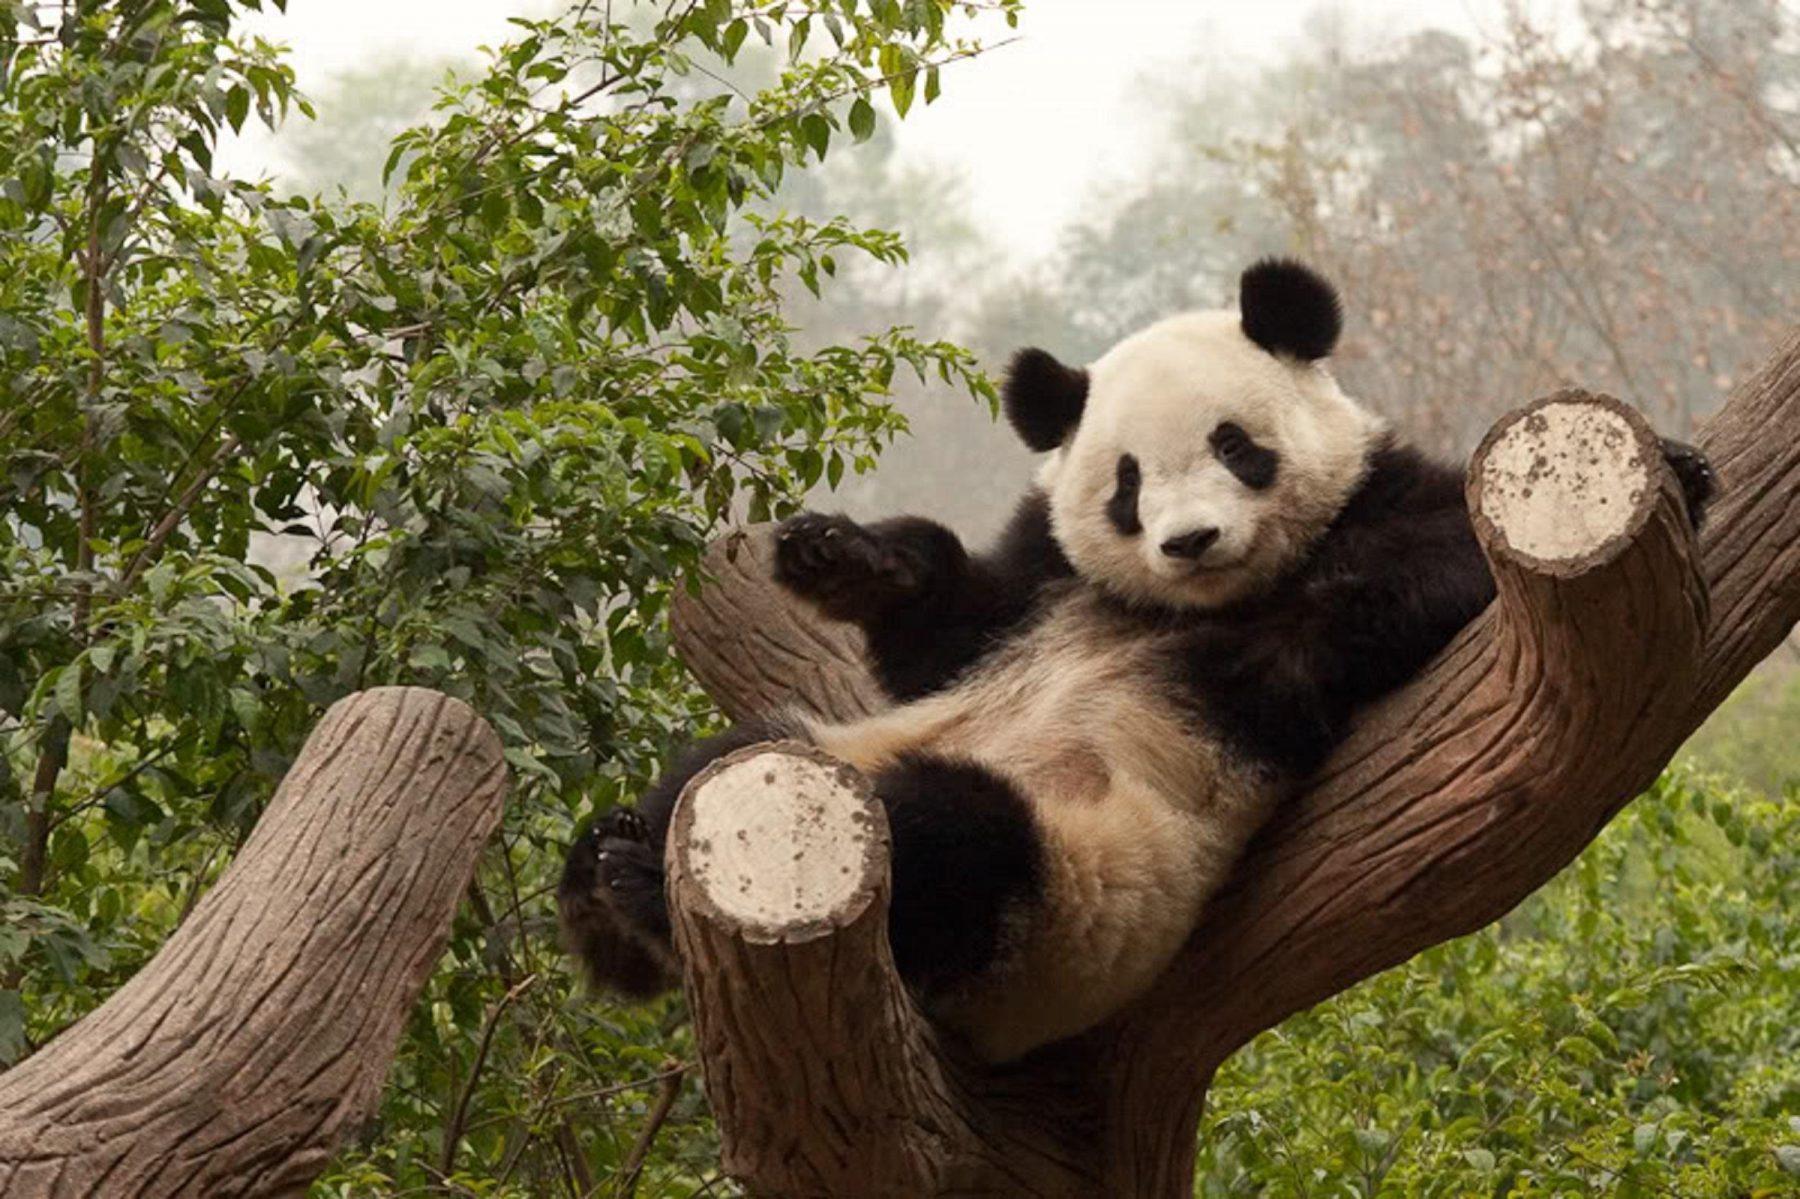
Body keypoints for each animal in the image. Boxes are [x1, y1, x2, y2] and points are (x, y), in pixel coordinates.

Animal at [558, 259, 1715, 1062]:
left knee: (956, 835)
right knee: (731, 756)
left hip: (1058, 915)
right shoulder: (1043, 577)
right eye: (1126, 482)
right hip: (837, 764)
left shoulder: (1383, 513)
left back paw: (639, 891)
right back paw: (612, 879)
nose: (1190, 541)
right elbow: (944, 633)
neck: (1184, 603)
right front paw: (835, 554)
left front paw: (1681, 464)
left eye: (1236, 446)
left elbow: (1427, 572)